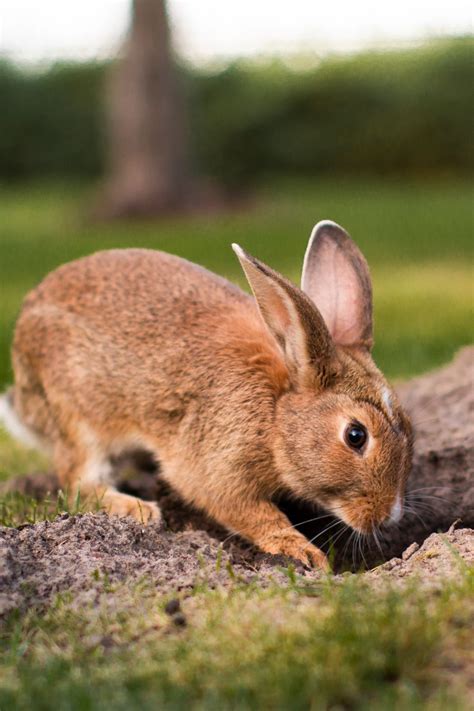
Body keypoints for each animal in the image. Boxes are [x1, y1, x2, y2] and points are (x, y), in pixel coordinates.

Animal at [1, 221, 413, 569]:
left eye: (409, 427)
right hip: (77, 417)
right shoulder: (219, 465)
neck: (276, 412)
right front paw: (305, 553)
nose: (388, 515)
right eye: (355, 436)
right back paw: (137, 509)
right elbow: (250, 511)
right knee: (77, 480)